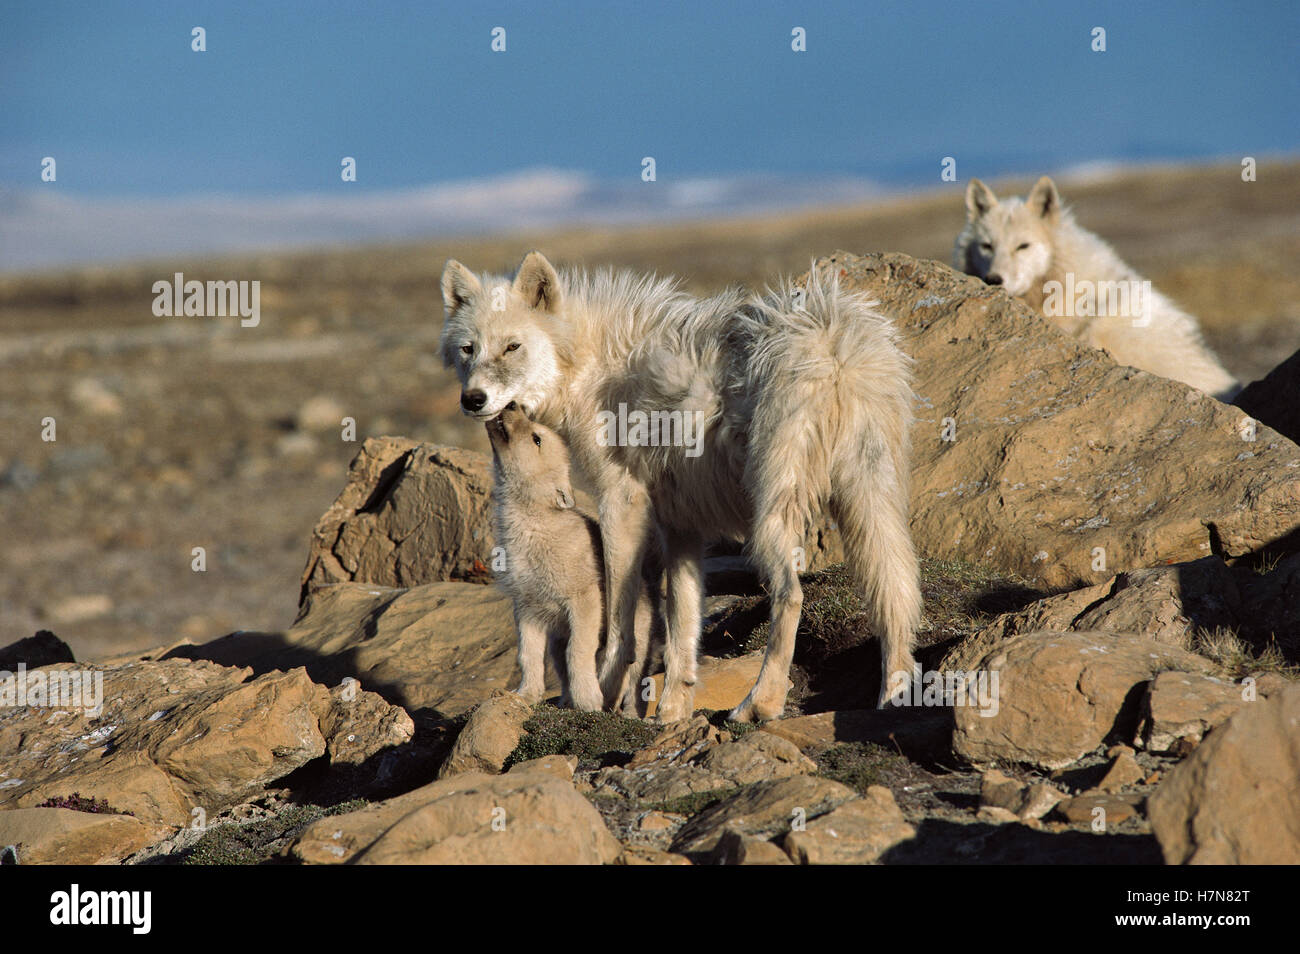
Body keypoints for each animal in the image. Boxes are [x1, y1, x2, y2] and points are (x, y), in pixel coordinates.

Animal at [486, 402, 661, 715]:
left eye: (537, 439)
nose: (512, 405)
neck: (534, 524)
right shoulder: (528, 606)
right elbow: (528, 654)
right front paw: (524, 695)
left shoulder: (584, 599)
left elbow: (578, 650)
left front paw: (588, 700)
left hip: (636, 639)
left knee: (633, 680)